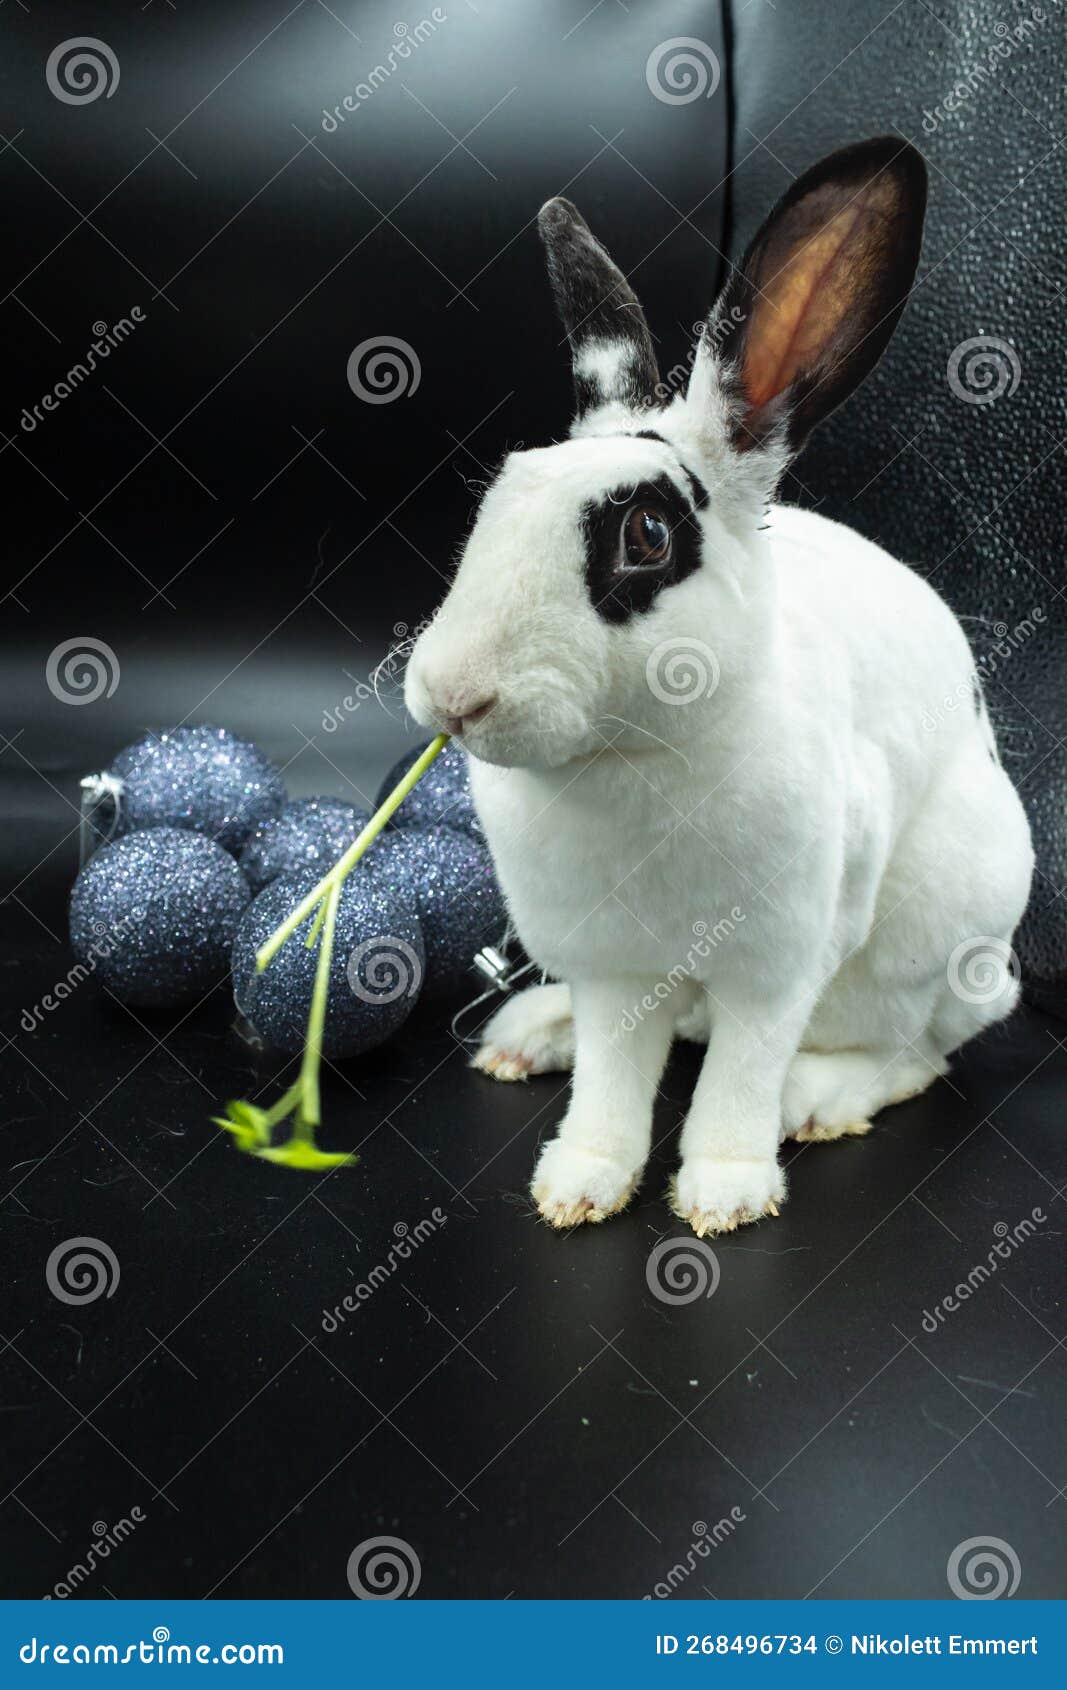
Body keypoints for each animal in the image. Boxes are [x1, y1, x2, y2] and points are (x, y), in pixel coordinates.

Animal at [404, 137, 1034, 1238]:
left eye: (647, 534)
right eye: (500, 495)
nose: (452, 695)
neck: (631, 756)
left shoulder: (774, 964)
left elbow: (740, 1071)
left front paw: (724, 1192)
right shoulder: (612, 961)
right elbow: (615, 1070)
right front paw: (578, 1183)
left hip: (945, 930)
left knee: (917, 1050)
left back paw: (818, 1100)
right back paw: (529, 1035)